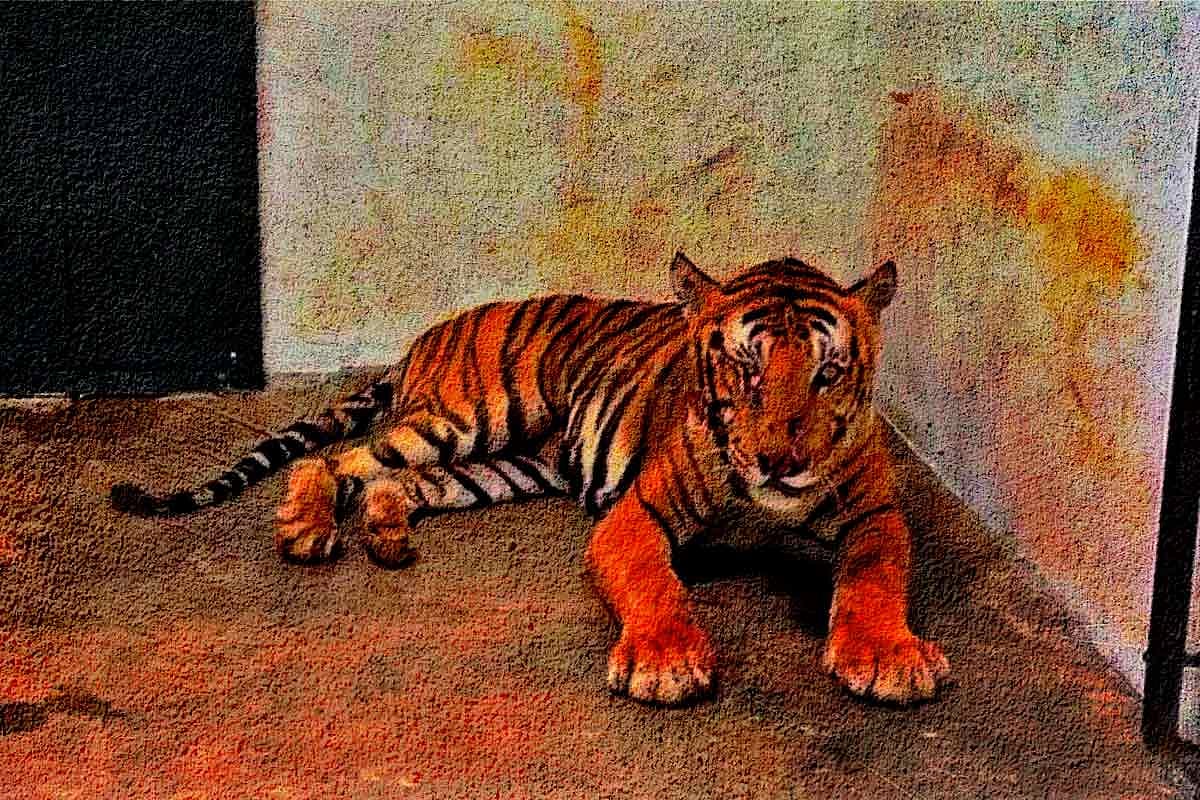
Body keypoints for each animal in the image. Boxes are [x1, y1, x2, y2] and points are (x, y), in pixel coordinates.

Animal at [111, 252, 950, 706]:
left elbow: (875, 577)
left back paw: (385, 537)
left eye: (826, 373)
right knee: (335, 459)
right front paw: (666, 661)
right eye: (746, 370)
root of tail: (425, 332)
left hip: (506, 466)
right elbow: (656, 583)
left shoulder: (876, 513)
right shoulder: (638, 514)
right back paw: (308, 530)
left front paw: (890, 656)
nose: (781, 461)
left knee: (402, 483)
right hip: (464, 418)